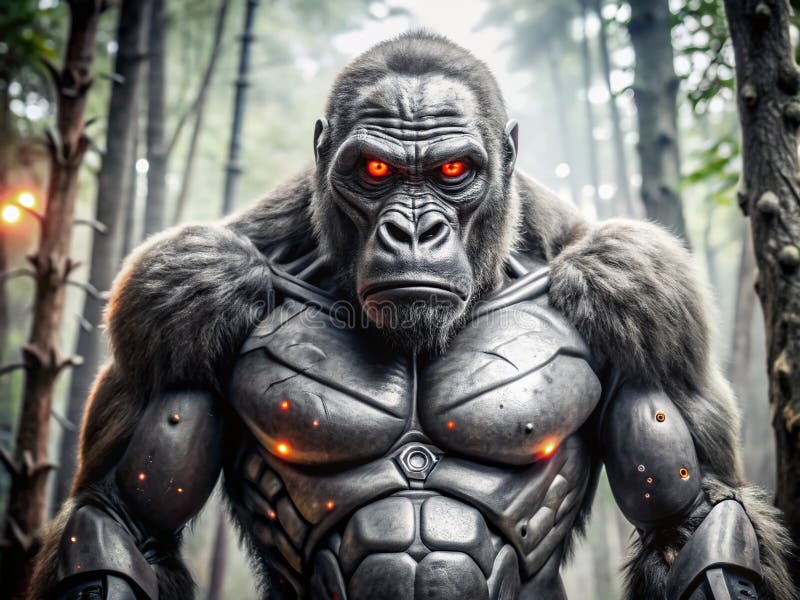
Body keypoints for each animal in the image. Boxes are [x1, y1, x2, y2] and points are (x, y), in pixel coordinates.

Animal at [28, 31, 796, 600]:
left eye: (453, 171)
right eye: (374, 171)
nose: (415, 230)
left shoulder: (644, 293)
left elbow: (689, 519)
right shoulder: (179, 294)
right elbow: (124, 518)